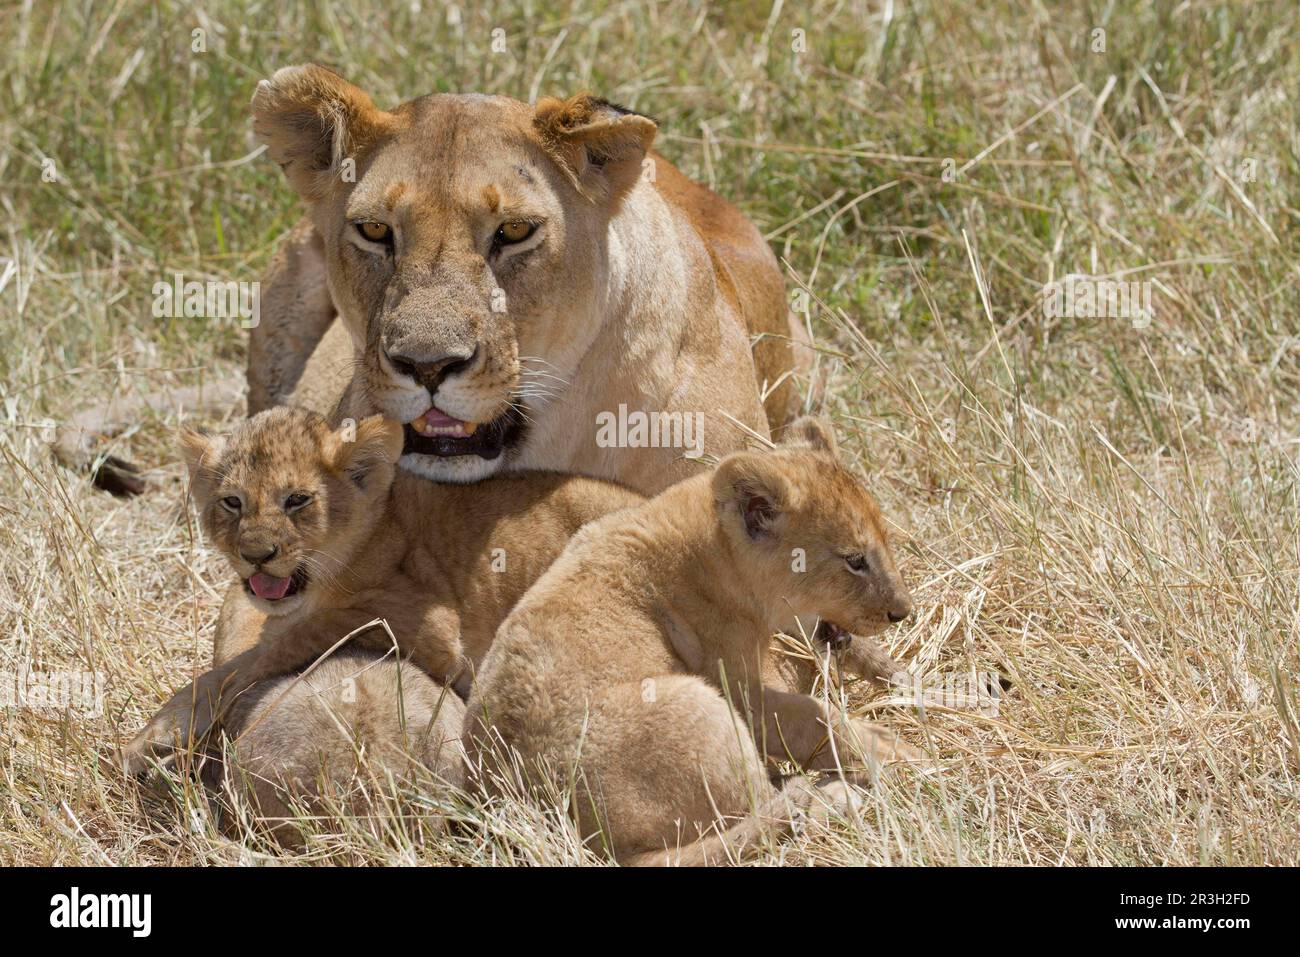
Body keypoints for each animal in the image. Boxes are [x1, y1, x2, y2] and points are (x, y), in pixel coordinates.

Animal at [463, 417, 921, 866]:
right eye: (855, 561)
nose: (903, 612)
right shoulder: (739, 690)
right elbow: (811, 719)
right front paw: (895, 751)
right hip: (693, 703)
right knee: (762, 816)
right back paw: (839, 796)